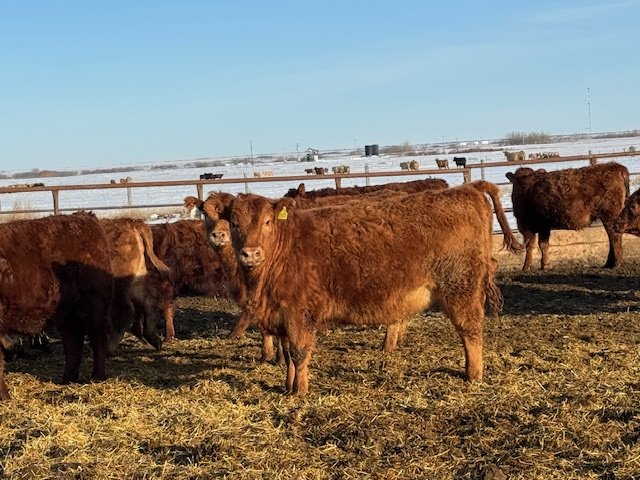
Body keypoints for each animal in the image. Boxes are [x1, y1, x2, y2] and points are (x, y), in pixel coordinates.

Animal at [0, 213, 117, 400]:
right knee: (73, 344)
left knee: (97, 340)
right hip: (67, 315)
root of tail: (85, 216)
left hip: (95, 306)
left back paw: (97, 378)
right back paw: (68, 380)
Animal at [228, 181, 523, 395]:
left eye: (267, 222)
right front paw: (288, 387)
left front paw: (299, 391)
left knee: (470, 330)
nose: (250, 254)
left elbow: (299, 354)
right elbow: (288, 355)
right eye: (233, 223)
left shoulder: (299, 313)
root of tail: (467, 188)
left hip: (460, 287)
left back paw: (473, 375)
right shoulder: (282, 317)